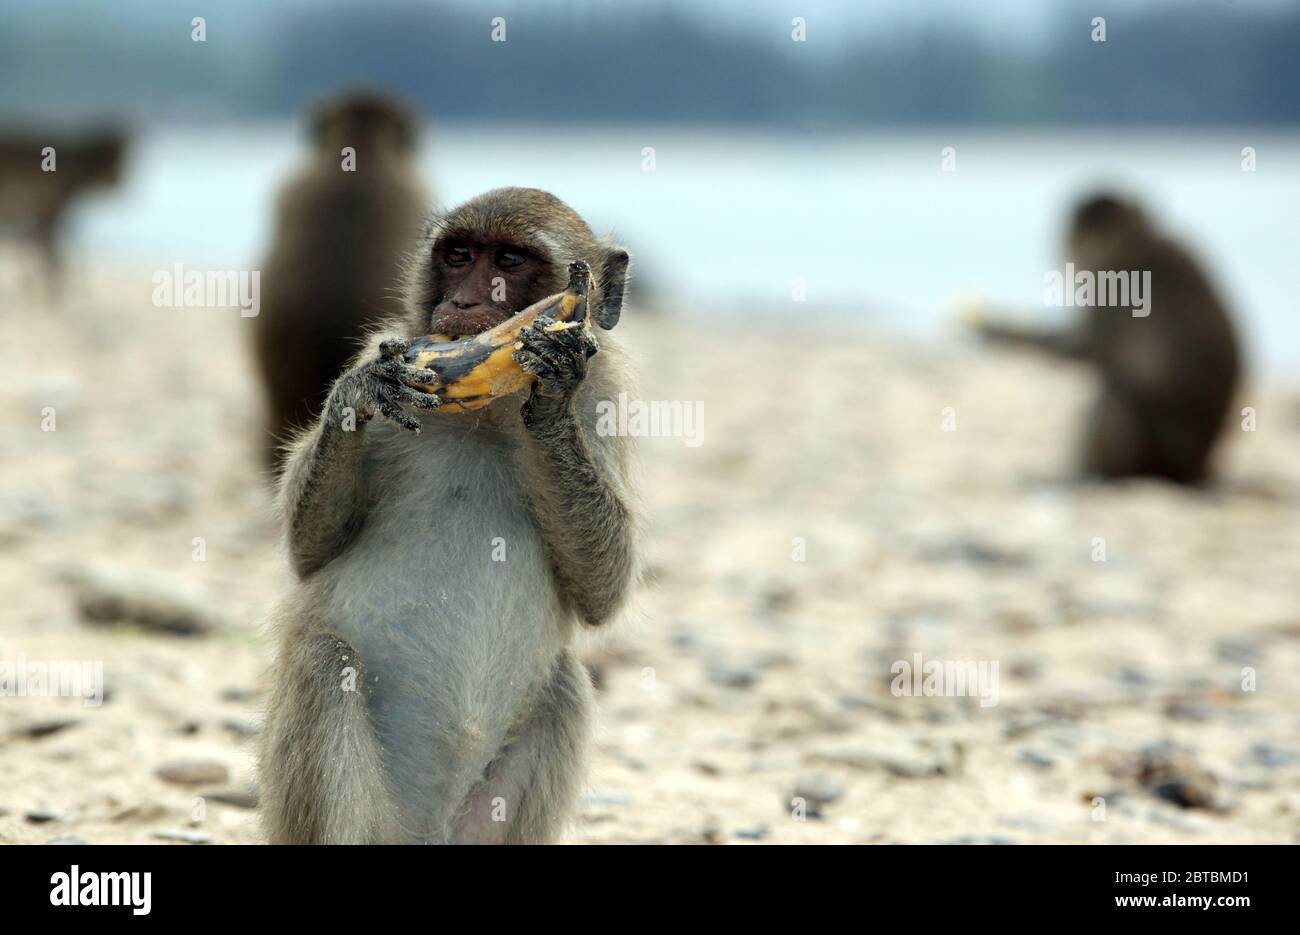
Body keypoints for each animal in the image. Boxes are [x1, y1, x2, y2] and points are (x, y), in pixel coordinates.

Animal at [0, 127, 126, 290]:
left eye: (121, 163)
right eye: (115, 162)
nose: (118, 182)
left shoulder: (39, 223)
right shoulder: (45, 221)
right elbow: (53, 260)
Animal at [258, 187, 636, 844]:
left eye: (509, 260)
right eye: (459, 255)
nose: (461, 301)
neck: (488, 412)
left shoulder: (604, 397)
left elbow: (601, 592)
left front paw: (552, 385)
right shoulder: (395, 348)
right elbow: (310, 550)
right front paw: (362, 391)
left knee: (565, 687)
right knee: (325, 664)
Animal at [970, 193, 1241, 485]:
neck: (1134, 242)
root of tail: (1193, 468)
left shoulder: (1109, 287)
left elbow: (1080, 350)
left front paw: (995, 330)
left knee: (1115, 394)